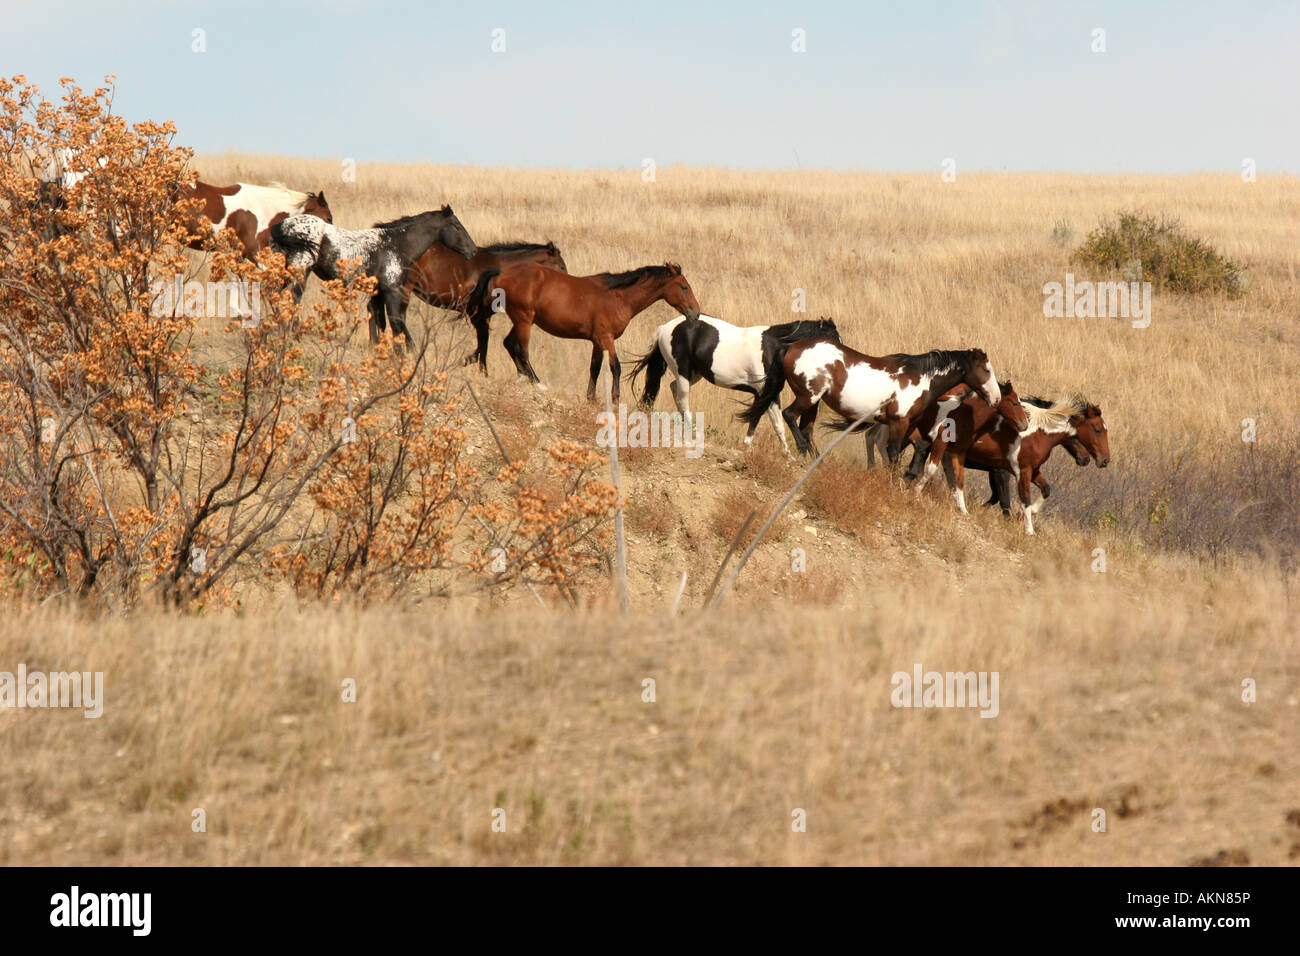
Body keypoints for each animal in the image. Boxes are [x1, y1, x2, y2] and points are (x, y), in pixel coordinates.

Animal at [270, 206, 478, 345]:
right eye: (457, 226)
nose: (473, 251)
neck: (396, 245)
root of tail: (280, 227)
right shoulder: (391, 291)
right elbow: (395, 322)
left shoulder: (377, 292)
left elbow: (380, 321)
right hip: (300, 270)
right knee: (291, 298)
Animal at [464, 262, 703, 402]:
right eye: (684, 287)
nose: (696, 312)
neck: (618, 297)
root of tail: (503, 272)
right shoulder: (606, 338)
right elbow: (615, 367)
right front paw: (615, 398)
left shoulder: (597, 341)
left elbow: (594, 368)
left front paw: (591, 398)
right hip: (524, 319)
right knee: (521, 350)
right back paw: (537, 382)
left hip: (522, 320)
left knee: (508, 344)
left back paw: (523, 377)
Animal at [627, 314, 840, 456]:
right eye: (833, 339)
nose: (839, 362)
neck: (772, 347)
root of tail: (665, 327)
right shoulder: (766, 392)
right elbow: (770, 420)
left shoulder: (766, 393)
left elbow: (765, 420)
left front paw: (757, 447)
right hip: (684, 374)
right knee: (682, 399)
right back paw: (692, 431)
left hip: (695, 374)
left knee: (673, 390)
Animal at [741, 341, 1001, 459]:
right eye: (987, 370)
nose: (997, 398)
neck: (920, 378)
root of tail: (793, 346)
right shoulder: (898, 422)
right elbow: (893, 452)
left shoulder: (906, 424)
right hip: (808, 397)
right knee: (789, 416)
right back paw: (804, 451)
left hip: (813, 403)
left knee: (806, 428)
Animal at [909, 381, 1030, 513]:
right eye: (1014, 403)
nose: (1025, 424)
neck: (962, 415)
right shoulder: (939, 443)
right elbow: (931, 469)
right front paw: (916, 494)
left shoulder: (958, 452)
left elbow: (959, 479)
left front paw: (963, 510)